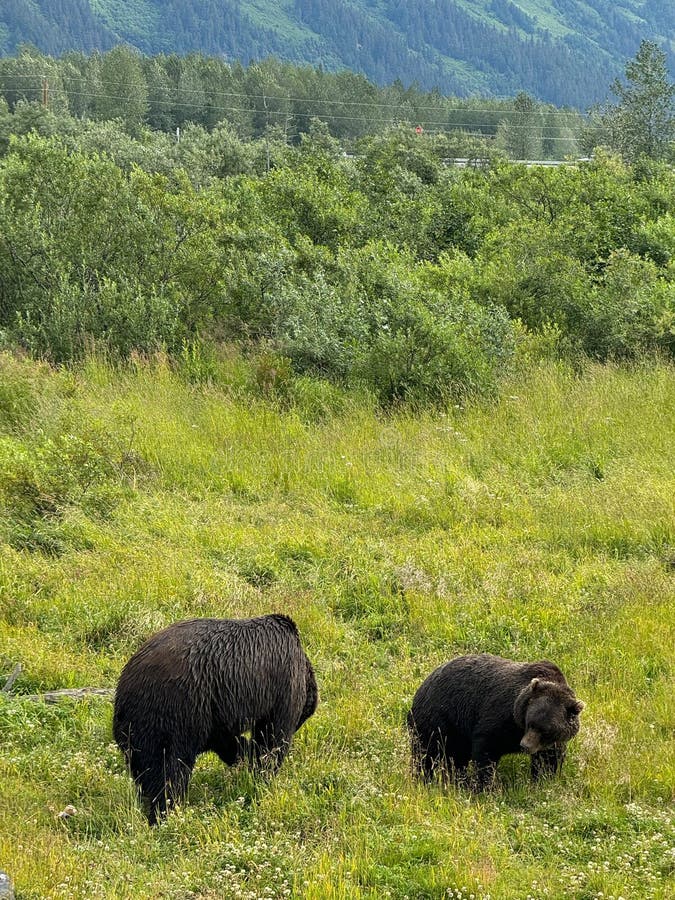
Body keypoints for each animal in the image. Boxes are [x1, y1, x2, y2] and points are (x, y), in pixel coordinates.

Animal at [113, 613, 318, 824]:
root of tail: (125, 689)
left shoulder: (214, 711)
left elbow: (227, 741)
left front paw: (246, 755)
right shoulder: (282, 684)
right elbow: (272, 737)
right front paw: (263, 774)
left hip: (139, 732)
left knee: (145, 772)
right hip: (173, 712)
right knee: (169, 771)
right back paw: (165, 814)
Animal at [408, 654, 584, 789]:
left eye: (546, 730)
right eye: (530, 722)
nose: (525, 746)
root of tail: (422, 686)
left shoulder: (551, 742)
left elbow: (547, 760)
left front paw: (542, 782)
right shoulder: (500, 717)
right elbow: (487, 750)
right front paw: (486, 786)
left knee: (455, 758)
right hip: (439, 720)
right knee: (426, 753)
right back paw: (425, 779)